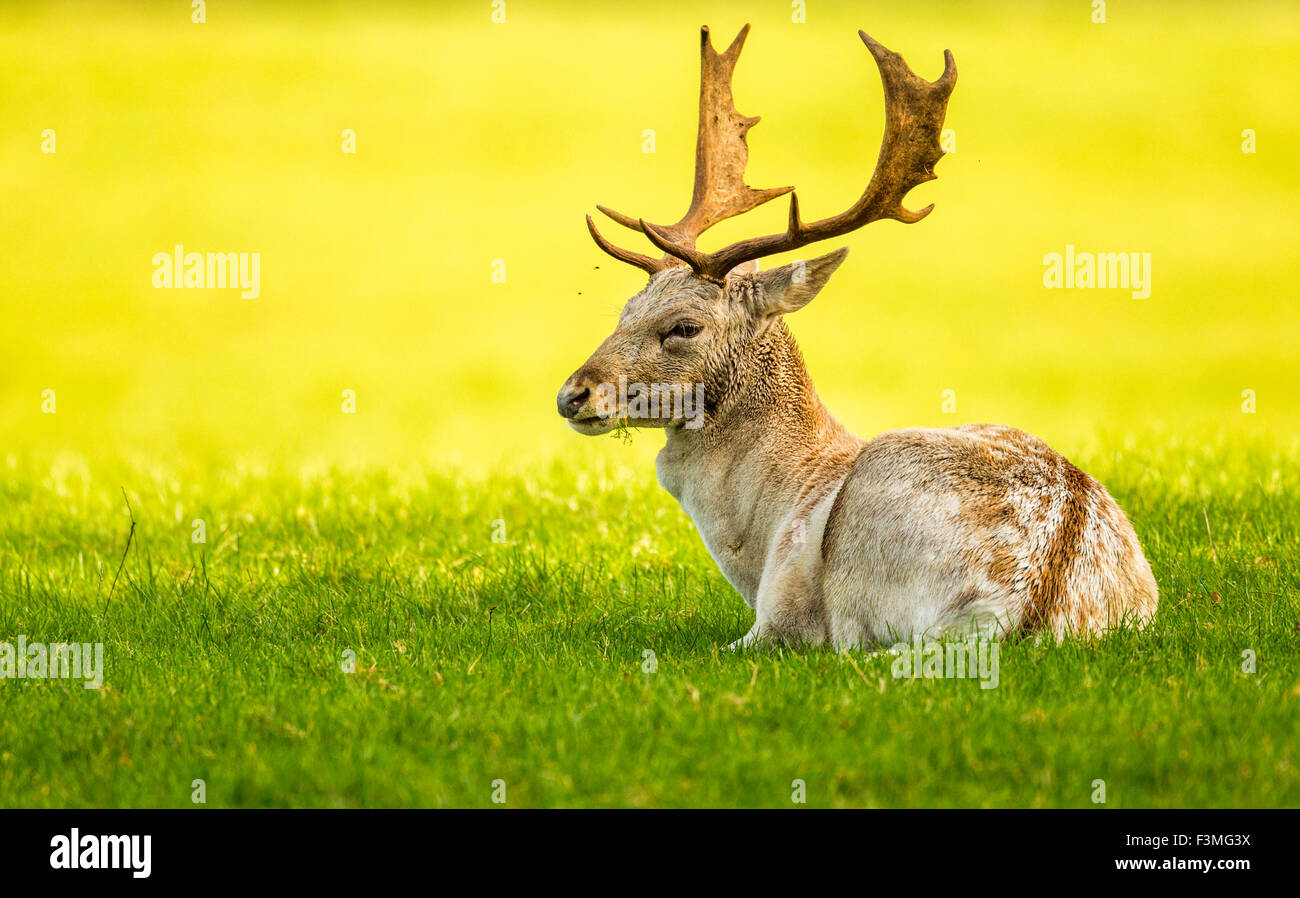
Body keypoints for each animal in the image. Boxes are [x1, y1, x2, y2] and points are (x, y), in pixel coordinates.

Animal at [556, 25, 1158, 651]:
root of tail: (1034, 605)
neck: (769, 524)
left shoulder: (778, 615)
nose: (573, 394)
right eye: (626, 310)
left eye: (684, 327)